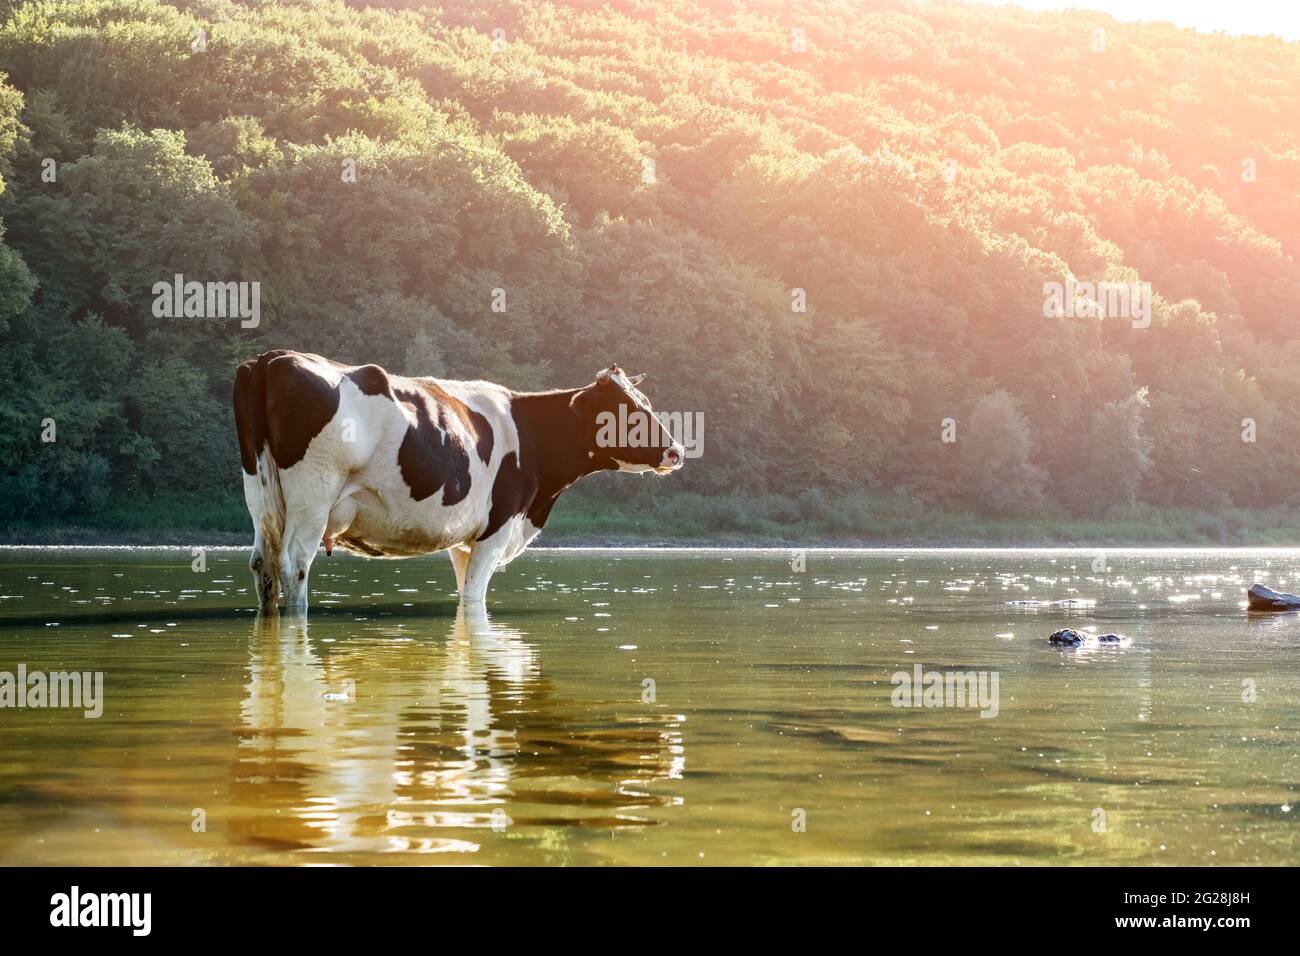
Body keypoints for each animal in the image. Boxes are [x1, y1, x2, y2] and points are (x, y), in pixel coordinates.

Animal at [232, 350, 684, 612]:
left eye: (644, 402)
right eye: (625, 411)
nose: (676, 451)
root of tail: (273, 357)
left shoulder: (464, 540)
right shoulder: (496, 530)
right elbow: (473, 599)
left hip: (259, 494)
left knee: (262, 565)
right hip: (313, 493)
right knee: (294, 565)